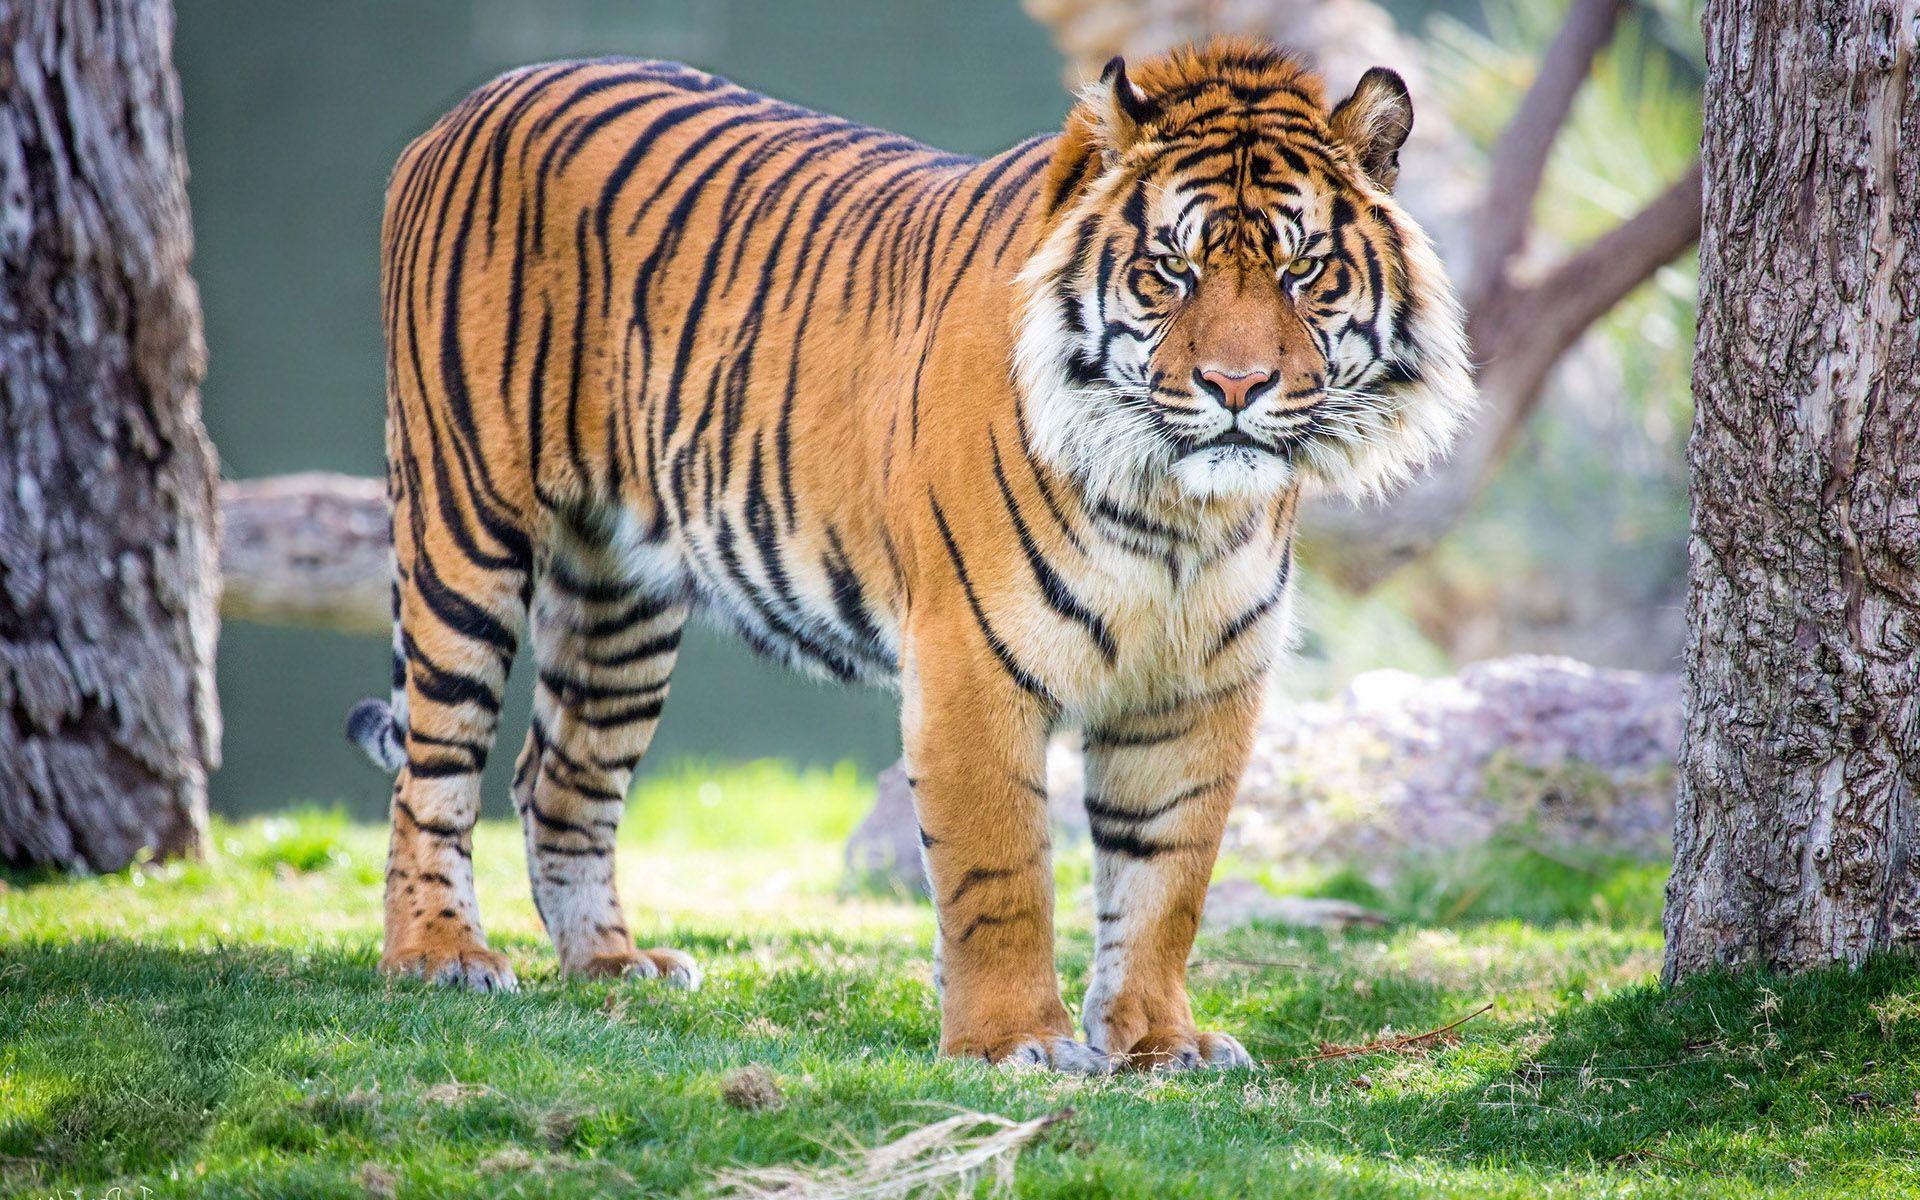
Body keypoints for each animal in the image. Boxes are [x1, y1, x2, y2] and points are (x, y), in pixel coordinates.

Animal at [346, 37, 1471, 1073]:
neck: (1177, 513)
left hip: (619, 595)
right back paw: (439, 956)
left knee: (559, 775)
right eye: (1171, 271)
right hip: (465, 526)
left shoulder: (1199, 687)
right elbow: (1002, 869)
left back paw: (613, 965)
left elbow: (1166, 880)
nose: (1236, 387)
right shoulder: (973, 659)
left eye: (1302, 270)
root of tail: (486, 96)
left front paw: (1159, 1041)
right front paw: (1016, 1043)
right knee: (437, 768)